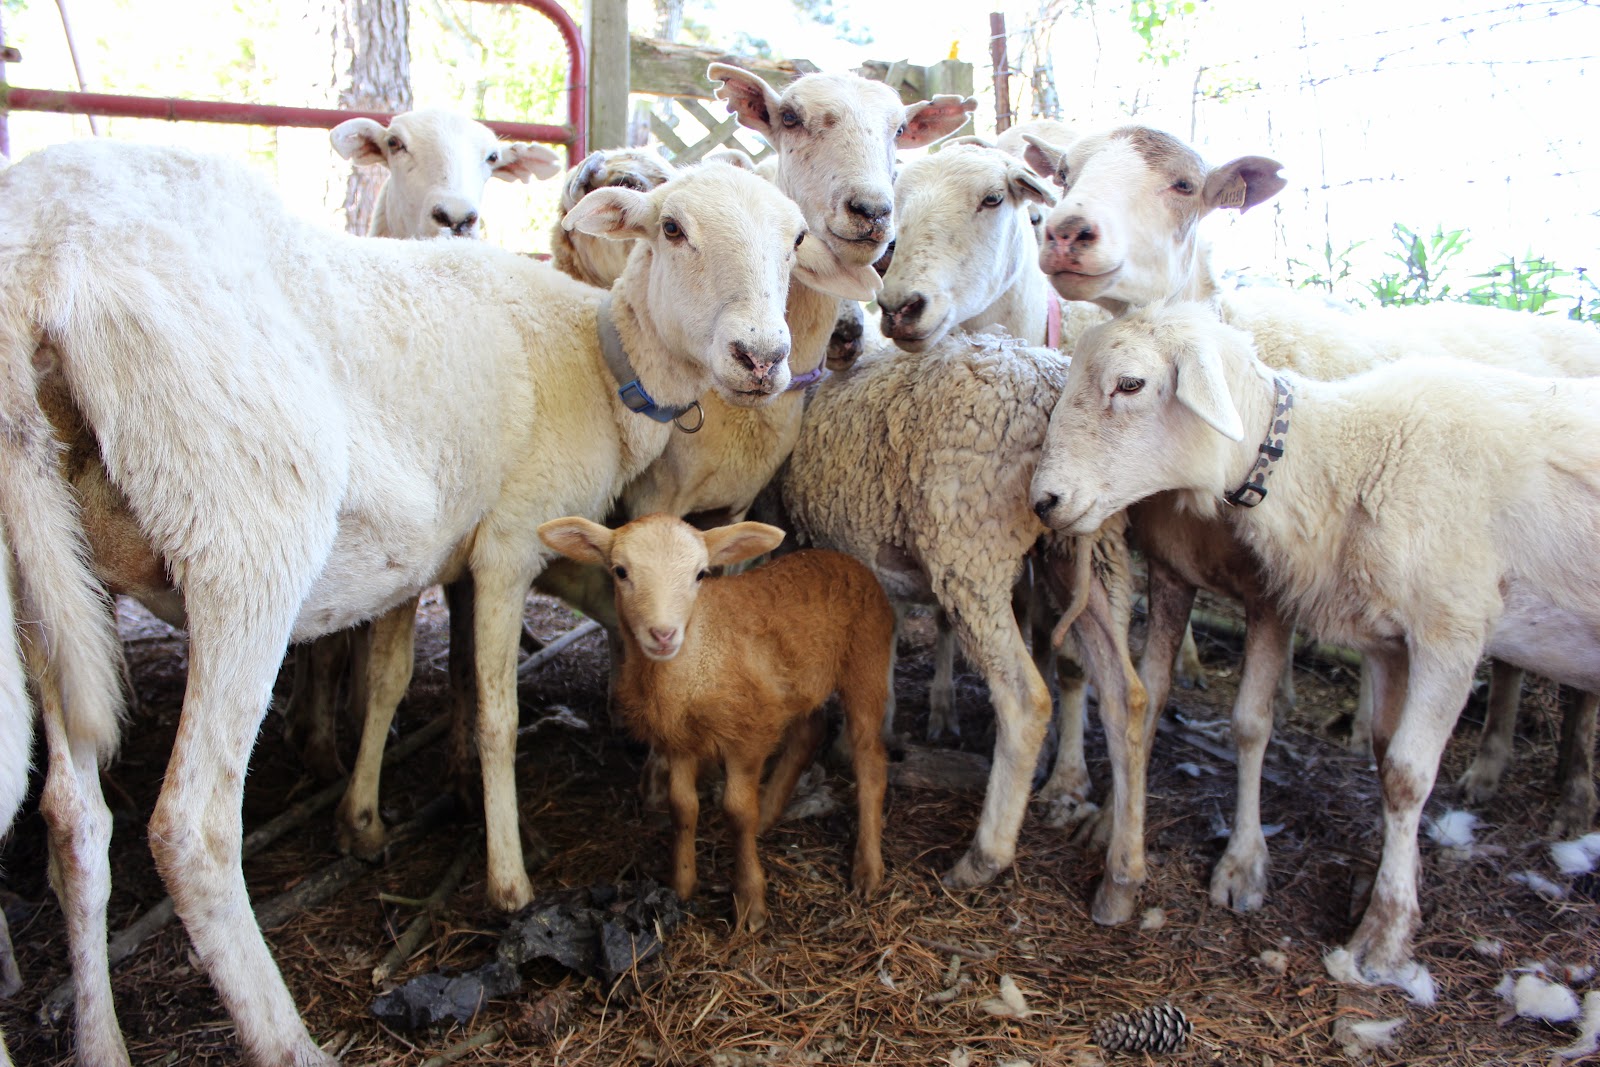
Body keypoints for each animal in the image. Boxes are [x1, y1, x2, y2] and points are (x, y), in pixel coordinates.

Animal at [537, 513, 891, 932]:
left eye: (700, 574)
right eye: (620, 571)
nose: (663, 634)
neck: (694, 663)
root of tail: (843, 559)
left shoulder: (746, 736)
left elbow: (737, 812)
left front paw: (749, 902)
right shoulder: (677, 739)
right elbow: (682, 807)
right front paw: (682, 885)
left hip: (866, 660)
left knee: (869, 758)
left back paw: (867, 868)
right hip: (798, 683)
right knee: (810, 730)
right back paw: (769, 813)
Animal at [782, 331, 1147, 904]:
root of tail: (1049, 387)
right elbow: (884, 647)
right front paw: (879, 732)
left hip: (972, 544)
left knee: (1025, 700)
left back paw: (983, 858)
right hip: (1094, 549)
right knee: (1124, 695)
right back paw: (1122, 876)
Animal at [1028, 122, 1600, 918]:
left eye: (1185, 186)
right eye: (1067, 171)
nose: (1064, 231)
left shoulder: (1274, 591)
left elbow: (1251, 723)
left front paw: (1242, 864)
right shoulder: (1171, 571)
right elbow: (1152, 692)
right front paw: (1115, 817)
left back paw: (1568, 793)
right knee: (1511, 663)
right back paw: (1477, 764)